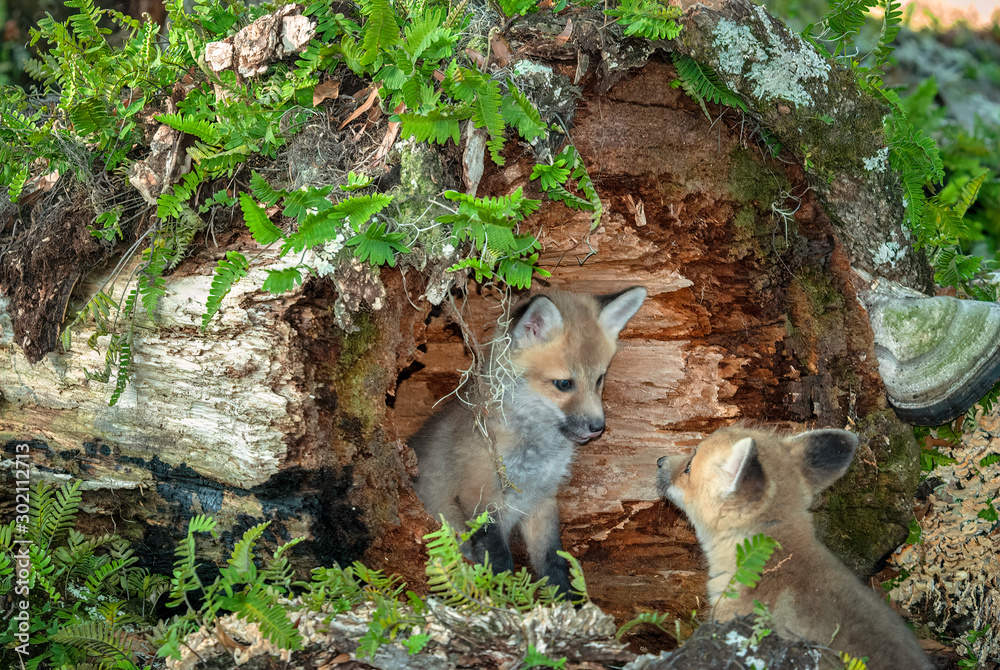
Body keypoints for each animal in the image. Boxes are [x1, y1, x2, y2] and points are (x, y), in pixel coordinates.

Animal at [410, 287, 646, 595]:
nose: (598, 427)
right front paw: (506, 600)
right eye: (563, 384)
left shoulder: (541, 500)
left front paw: (566, 601)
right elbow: (499, 561)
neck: (535, 454)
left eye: (599, 379)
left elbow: (552, 560)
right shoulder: (480, 498)